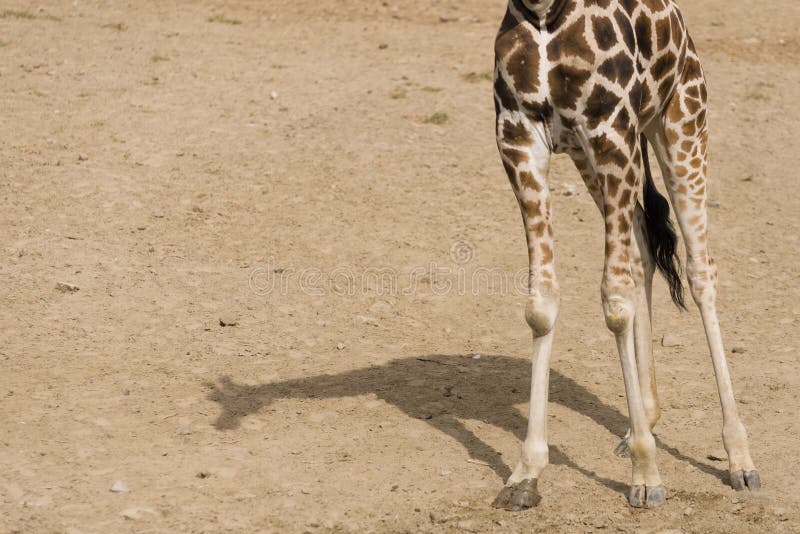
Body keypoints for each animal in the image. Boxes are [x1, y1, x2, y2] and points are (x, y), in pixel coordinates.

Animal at [491, 0, 761, 510]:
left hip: (679, 128)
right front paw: (525, 474)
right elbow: (541, 306)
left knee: (700, 271)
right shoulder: (519, 136)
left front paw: (647, 474)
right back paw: (643, 423)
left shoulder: (609, 134)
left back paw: (740, 459)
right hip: (592, 157)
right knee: (641, 249)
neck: (544, 15)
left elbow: (615, 304)